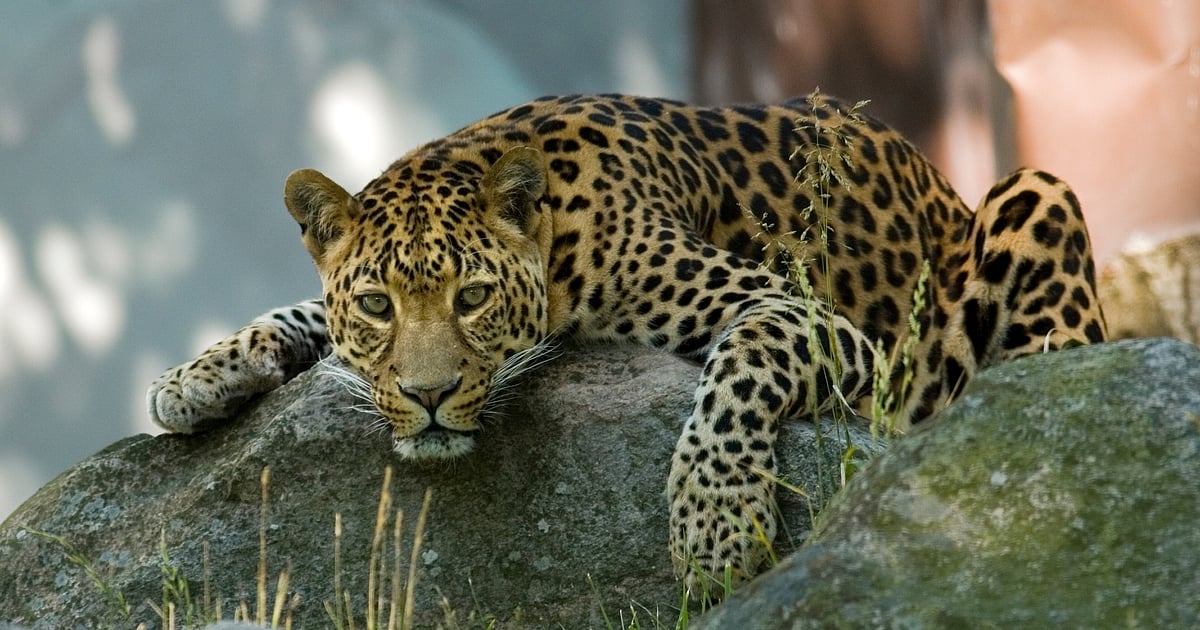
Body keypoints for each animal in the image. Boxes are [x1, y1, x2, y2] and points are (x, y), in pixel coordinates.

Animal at [146, 93, 1107, 593]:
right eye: (379, 303)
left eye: (473, 296)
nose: (427, 398)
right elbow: (301, 312)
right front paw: (196, 375)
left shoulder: (817, 323)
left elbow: (742, 365)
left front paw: (714, 529)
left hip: (1036, 191)